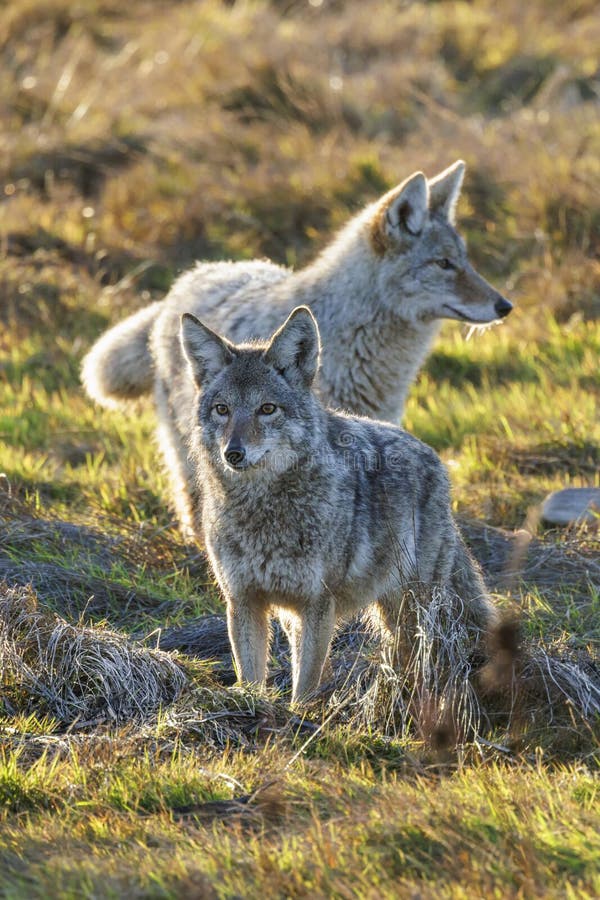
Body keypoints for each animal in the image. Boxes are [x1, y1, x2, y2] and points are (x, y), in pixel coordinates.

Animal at [179, 305, 498, 702]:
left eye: (267, 409)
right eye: (222, 409)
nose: (233, 453)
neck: (262, 512)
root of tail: (433, 457)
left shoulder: (318, 604)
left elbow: (304, 686)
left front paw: (298, 716)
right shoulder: (243, 602)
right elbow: (252, 678)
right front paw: (254, 708)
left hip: (412, 607)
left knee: (425, 653)